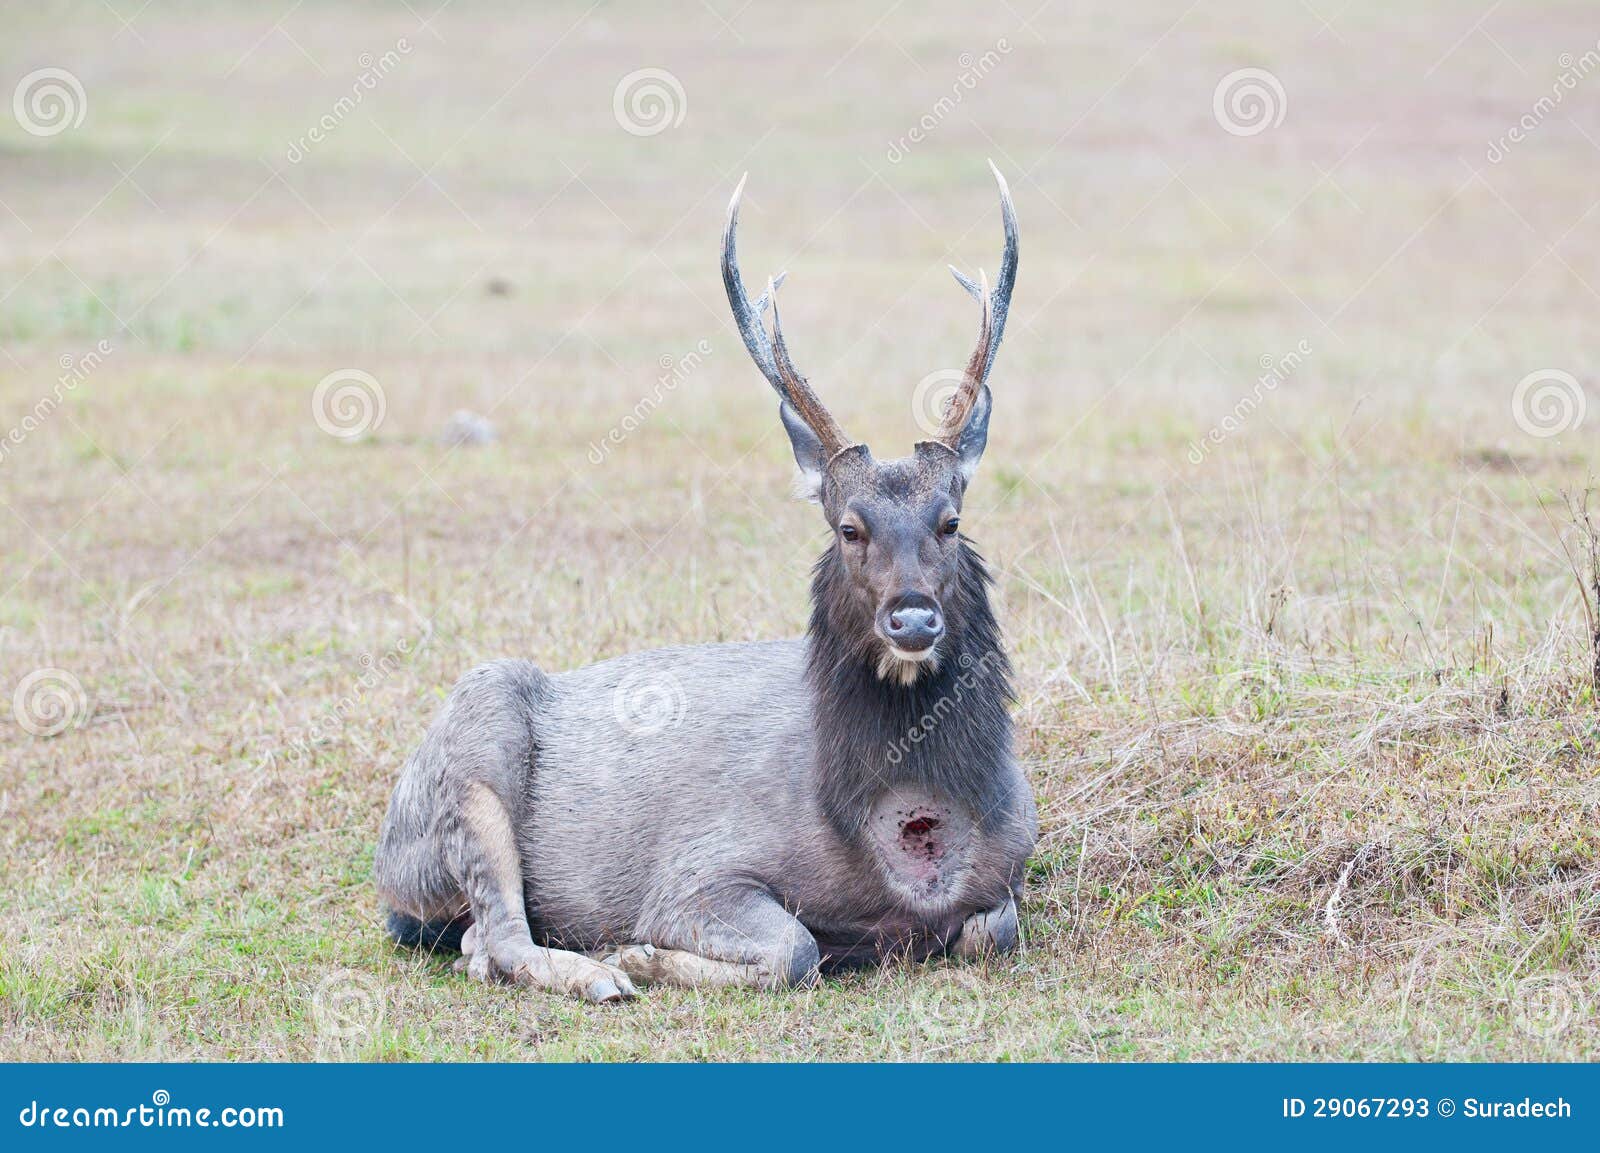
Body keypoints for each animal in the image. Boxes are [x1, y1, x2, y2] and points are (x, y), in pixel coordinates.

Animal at [374, 163, 1035, 1001]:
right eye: (848, 527)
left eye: (949, 519)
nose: (913, 619)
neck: (916, 837)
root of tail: (386, 854)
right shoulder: (695, 870)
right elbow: (794, 950)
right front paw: (638, 952)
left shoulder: (1011, 866)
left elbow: (993, 928)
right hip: (467, 759)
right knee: (499, 935)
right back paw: (602, 973)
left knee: (474, 939)